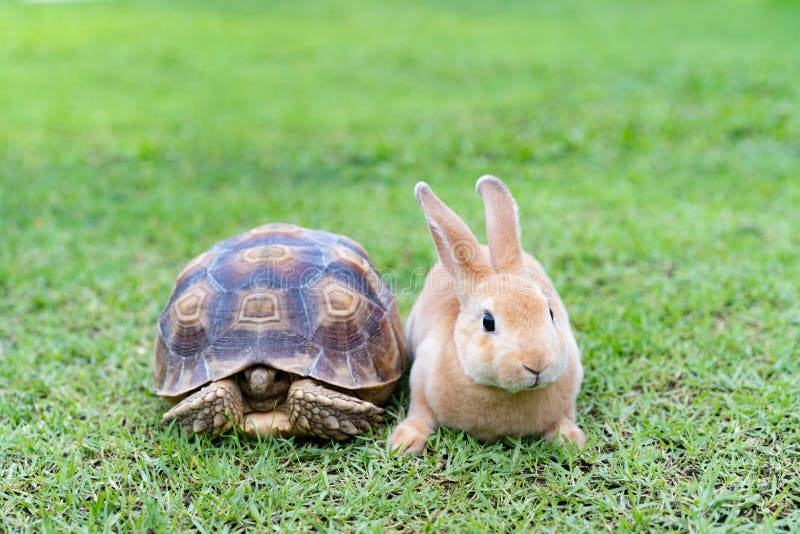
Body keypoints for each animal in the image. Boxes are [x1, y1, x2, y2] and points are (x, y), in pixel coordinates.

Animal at [389, 175, 585, 456]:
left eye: (550, 313)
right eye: (488, 322)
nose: (536, 363)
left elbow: (565, 415)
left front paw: (570, 441)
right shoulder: (420, 383)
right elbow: (419, 413)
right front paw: (403, 444)